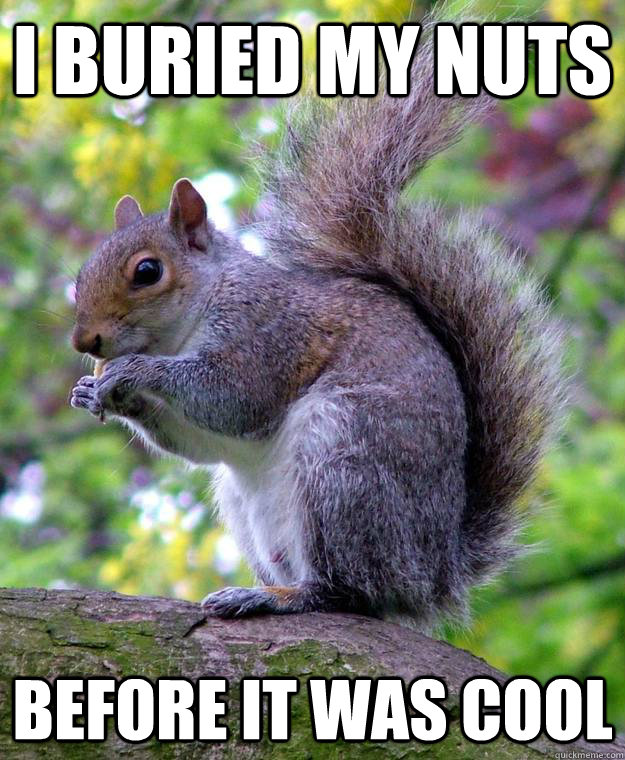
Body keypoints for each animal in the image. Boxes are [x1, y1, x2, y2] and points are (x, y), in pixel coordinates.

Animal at [69, 27, 563, 629]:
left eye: (147, 272)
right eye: (81, 274)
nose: (84, 341)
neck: (198, 312)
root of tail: (434, 575)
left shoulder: (267, 331)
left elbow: (235, 399)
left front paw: (133, 372)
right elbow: (202, 441)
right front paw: (93, 391)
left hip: (342, 461)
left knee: (345, 591)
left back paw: (277, 597)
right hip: (251, 501)